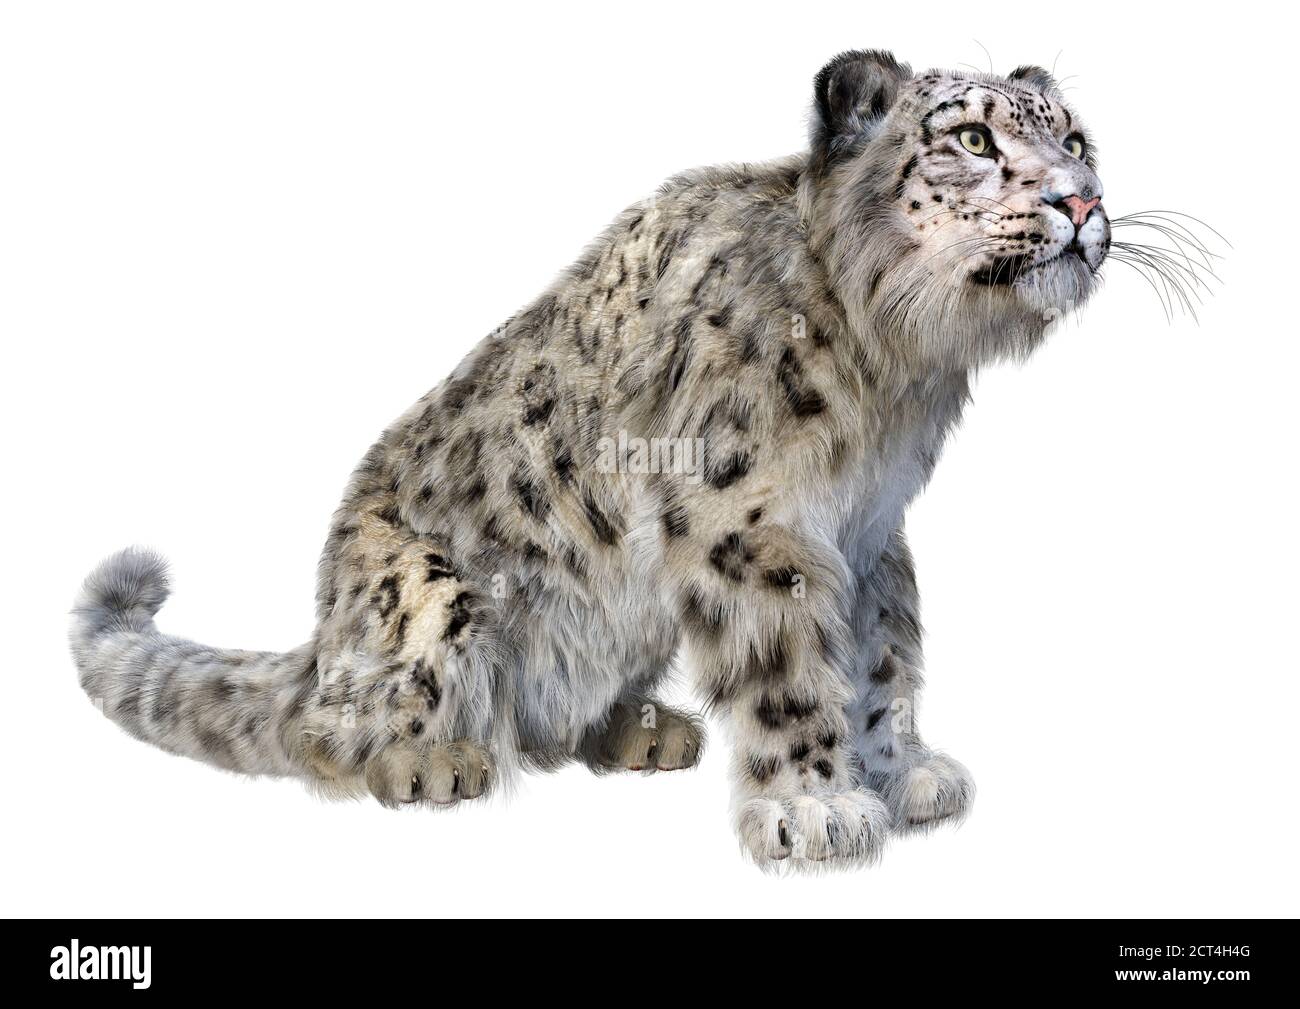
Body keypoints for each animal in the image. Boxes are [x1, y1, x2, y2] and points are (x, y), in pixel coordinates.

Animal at [71, 50, 1113, 868]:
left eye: (1076, 139)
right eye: (972, 140)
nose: (1083, 199)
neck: (891, 375)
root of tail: (323, 632)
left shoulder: (868, 531)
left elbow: (884, 652)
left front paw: (901, 773)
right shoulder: (750, 520)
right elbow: (788, 665)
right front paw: (815, 806)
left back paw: (642, 729)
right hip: (425, 590)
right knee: (329, 728)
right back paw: (431, 760)